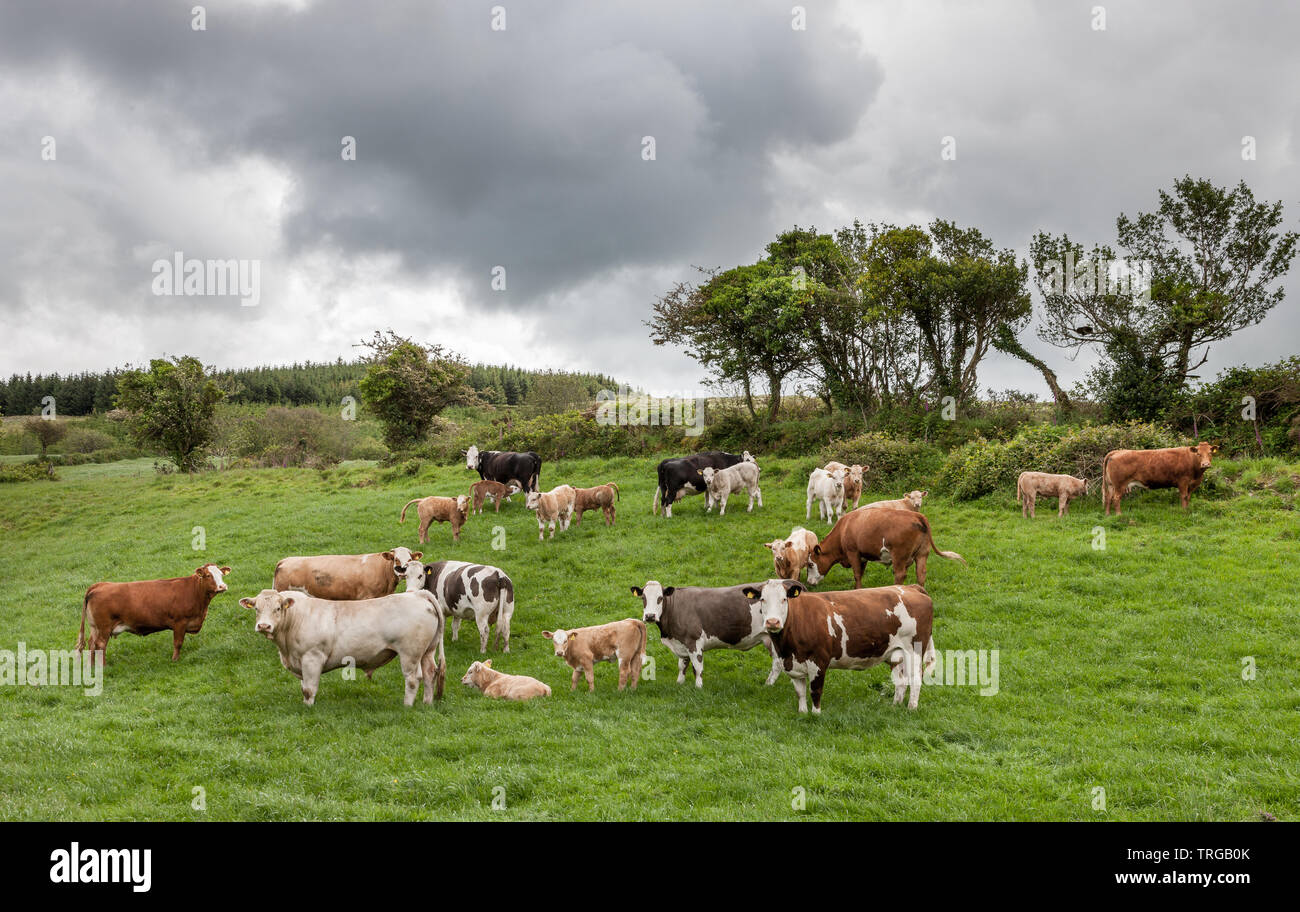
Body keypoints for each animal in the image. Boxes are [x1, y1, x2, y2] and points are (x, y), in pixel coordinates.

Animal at [76, 564, 231, 664]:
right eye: (208, 575)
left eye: (221, 575)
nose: (222, 586)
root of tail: (99, 585)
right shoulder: (179, 622)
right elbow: (178, 643)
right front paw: (175, 660)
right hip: (104, 627)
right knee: (100, 645)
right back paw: (103, 666)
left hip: (95, 628)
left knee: (92, 644)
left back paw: (92, 666)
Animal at [240, 588, 445, 706]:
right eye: (256, 608)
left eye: (278, 608)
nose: (264, 626)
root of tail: (418, 594)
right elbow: (303, 687)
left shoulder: (312, 657)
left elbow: (309, 688)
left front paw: (308, 707)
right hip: (428, 651)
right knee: (430, 673)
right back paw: (427, 702)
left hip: (410, 653)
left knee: (413, 679)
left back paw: (407, 705)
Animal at [631, 581, 782, 688]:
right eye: (643, 597)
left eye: (660, 598)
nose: (650, 616)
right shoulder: (682, 642)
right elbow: (682, 665)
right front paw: (679, 683)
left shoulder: (694, 641)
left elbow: (698, 667)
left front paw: (699, 686)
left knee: (778, 663)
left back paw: (768, 685)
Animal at [743, 579, 936, 714]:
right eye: (762, 599)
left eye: (784, 599)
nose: (772, 622)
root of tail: (910, 587)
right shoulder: (792, 665)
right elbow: (800, 692)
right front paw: (802, 713)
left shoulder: (819, 661)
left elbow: (815, 690)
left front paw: (816, 714)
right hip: (895, 653)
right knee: (901, 681)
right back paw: (895, 706)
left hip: (914, 649)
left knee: (915, 679)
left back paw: (911, 708)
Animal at [808, 508, 966, 588]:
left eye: (810, 564)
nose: (809, 582)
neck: (844, 528)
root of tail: (917, 515)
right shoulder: (863, 556)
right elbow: (861, 573)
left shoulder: (853, 552)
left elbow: (857, 574)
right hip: (922, 554)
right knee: (921, 574)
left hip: (899, 556)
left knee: (900, 574)